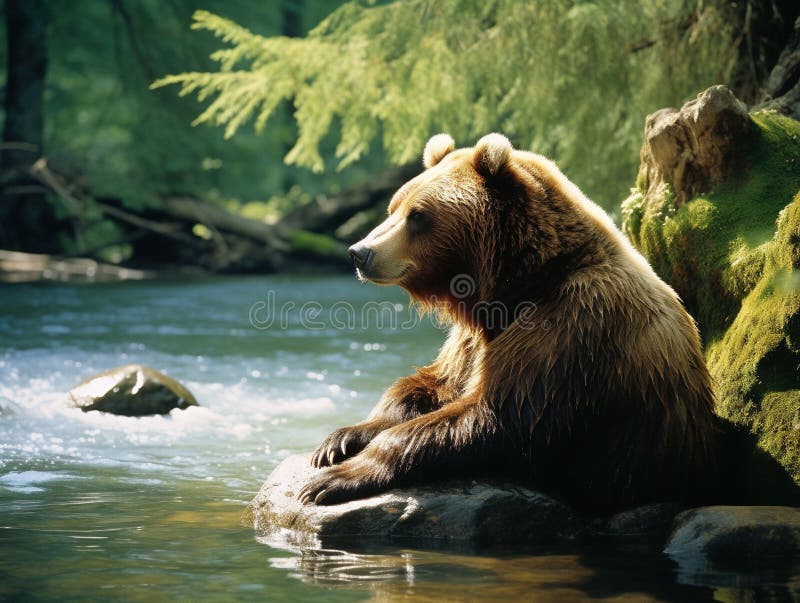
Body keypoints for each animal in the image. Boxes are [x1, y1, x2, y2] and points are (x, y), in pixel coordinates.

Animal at [298, 133, 721, 512]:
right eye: (394, 208)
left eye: (418, 216)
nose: (359, 252)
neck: (522, 280)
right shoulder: (475, 335)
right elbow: (435, 383)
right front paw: (341, 439)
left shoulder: (571, 325)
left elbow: (499, 416)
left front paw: (334, 480)